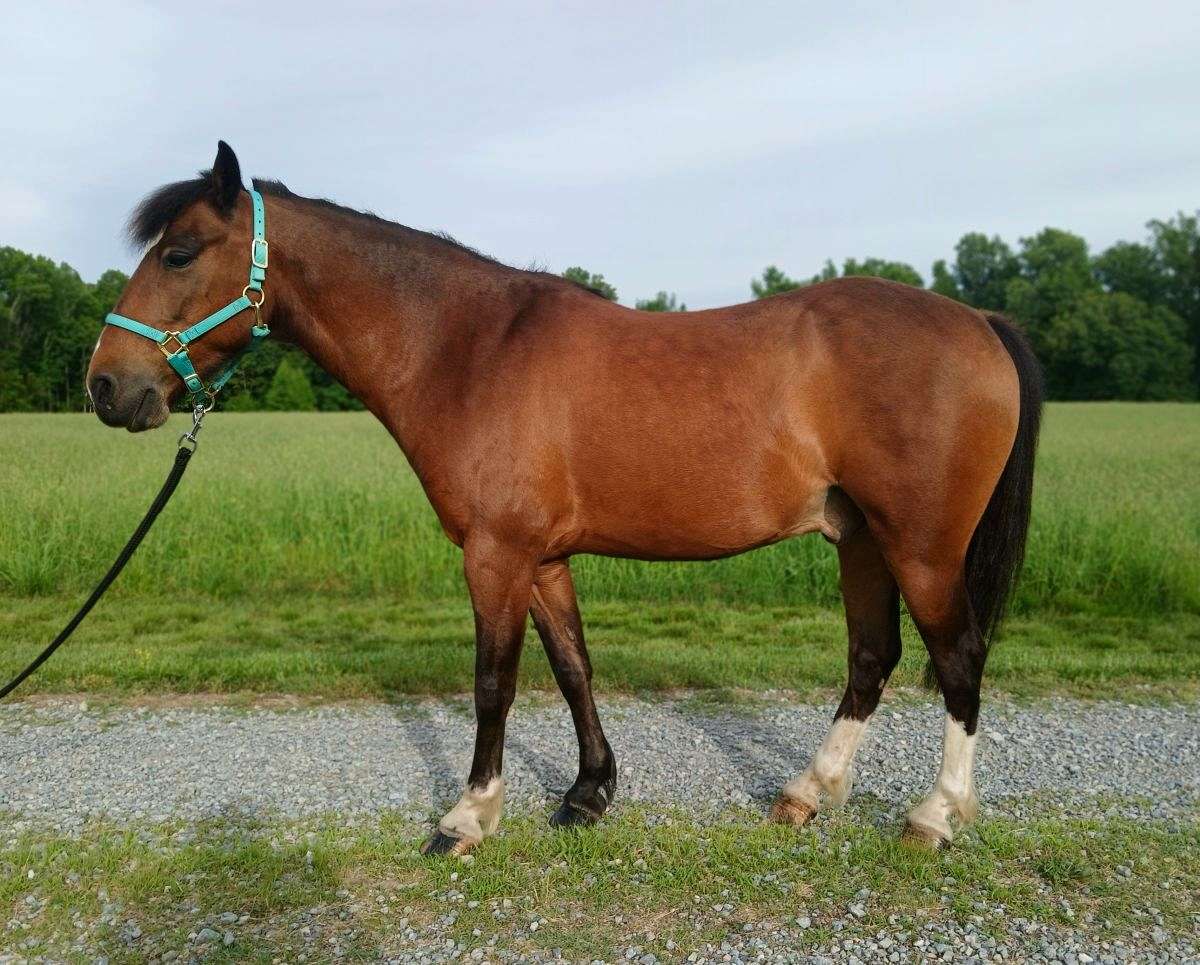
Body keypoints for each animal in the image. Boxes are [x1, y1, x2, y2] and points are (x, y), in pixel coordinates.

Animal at [87, 142, 1042, 855]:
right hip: (861, 538)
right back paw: (809, 791)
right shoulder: (542, 557)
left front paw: (468, 816)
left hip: (921, 545)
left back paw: (933, 815)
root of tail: (978, 321)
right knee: (872, 657)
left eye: (178, 251)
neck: (467, 348)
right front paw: (589, 792)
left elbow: (494, 681)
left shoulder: (496, 554)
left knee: (958, 659)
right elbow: (574, 666)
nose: (105, 385)